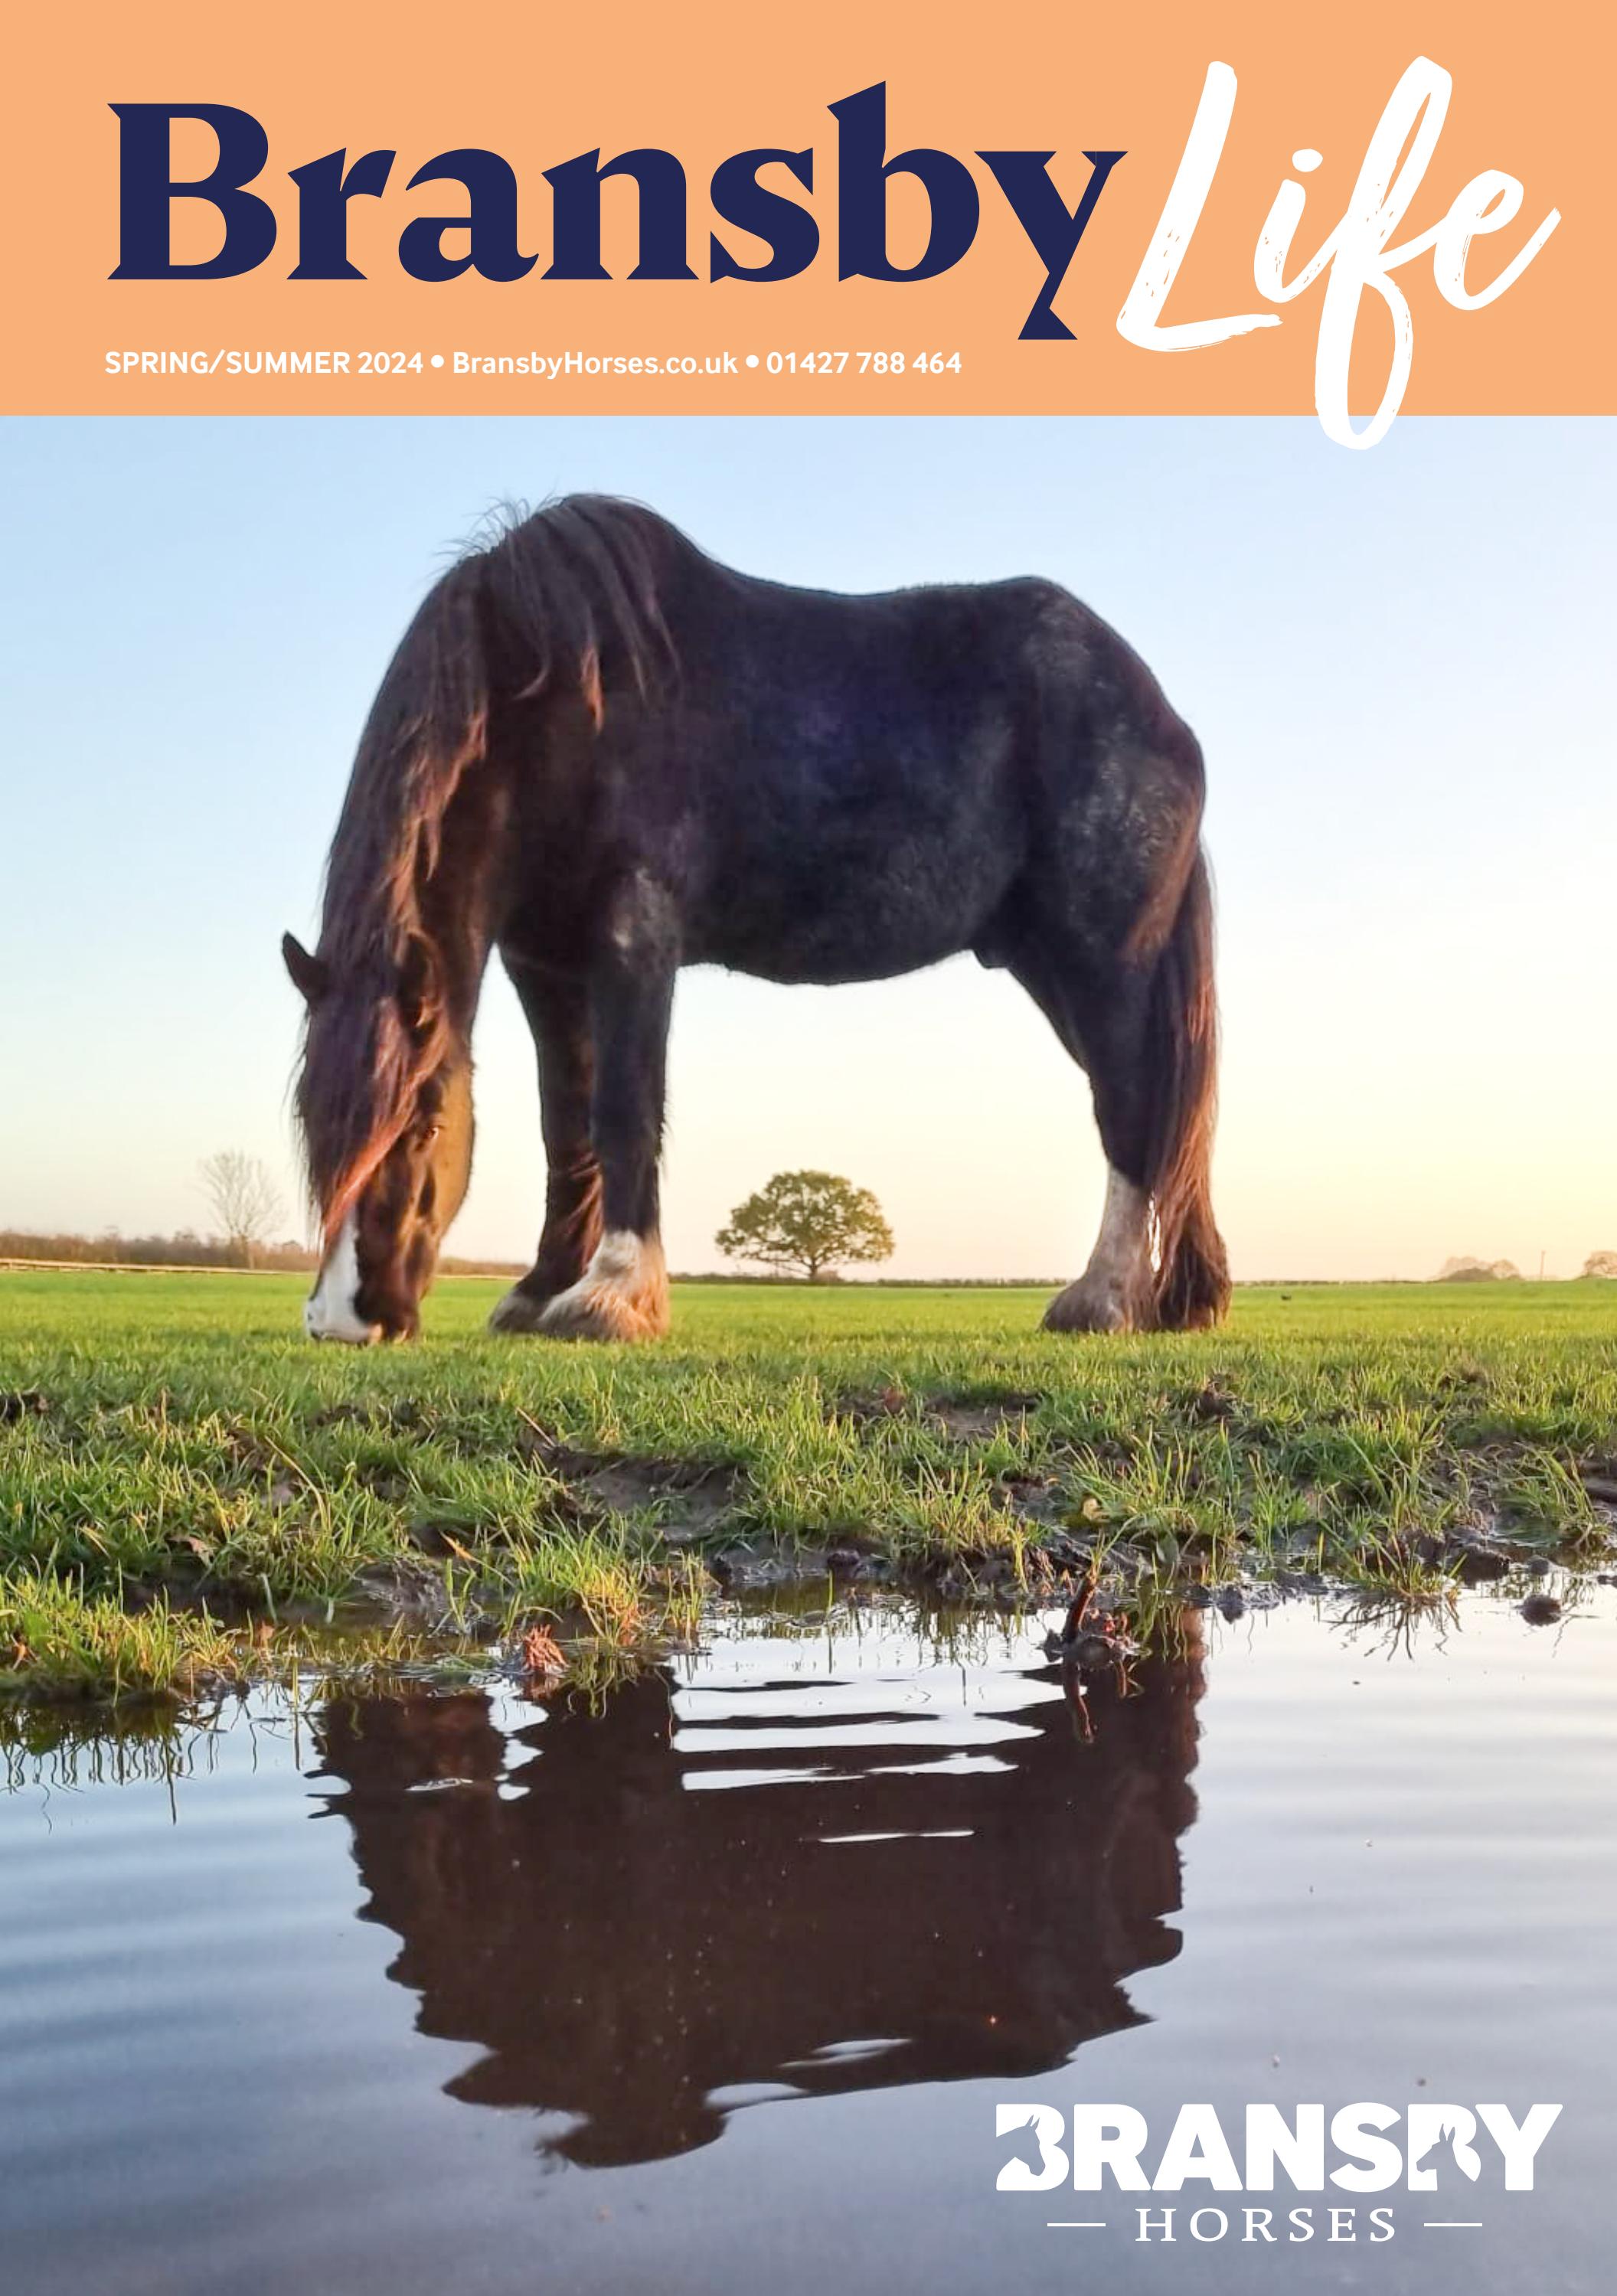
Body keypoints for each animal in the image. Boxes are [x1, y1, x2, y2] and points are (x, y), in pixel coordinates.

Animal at [284, 494, 1230, 1344]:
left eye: (424, 1123)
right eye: (312, 1123)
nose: (344, 1319)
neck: (556, 703)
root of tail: (1159, 712)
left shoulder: (634, 930)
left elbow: (624, 1107)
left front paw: (611, 1297)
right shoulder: (541, 960)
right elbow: (566, 1125)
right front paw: (543, 1288)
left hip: (1102, 960)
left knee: (1132, 1105)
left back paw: (1102, 1299)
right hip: (1050, 965)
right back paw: (1182, 1300)